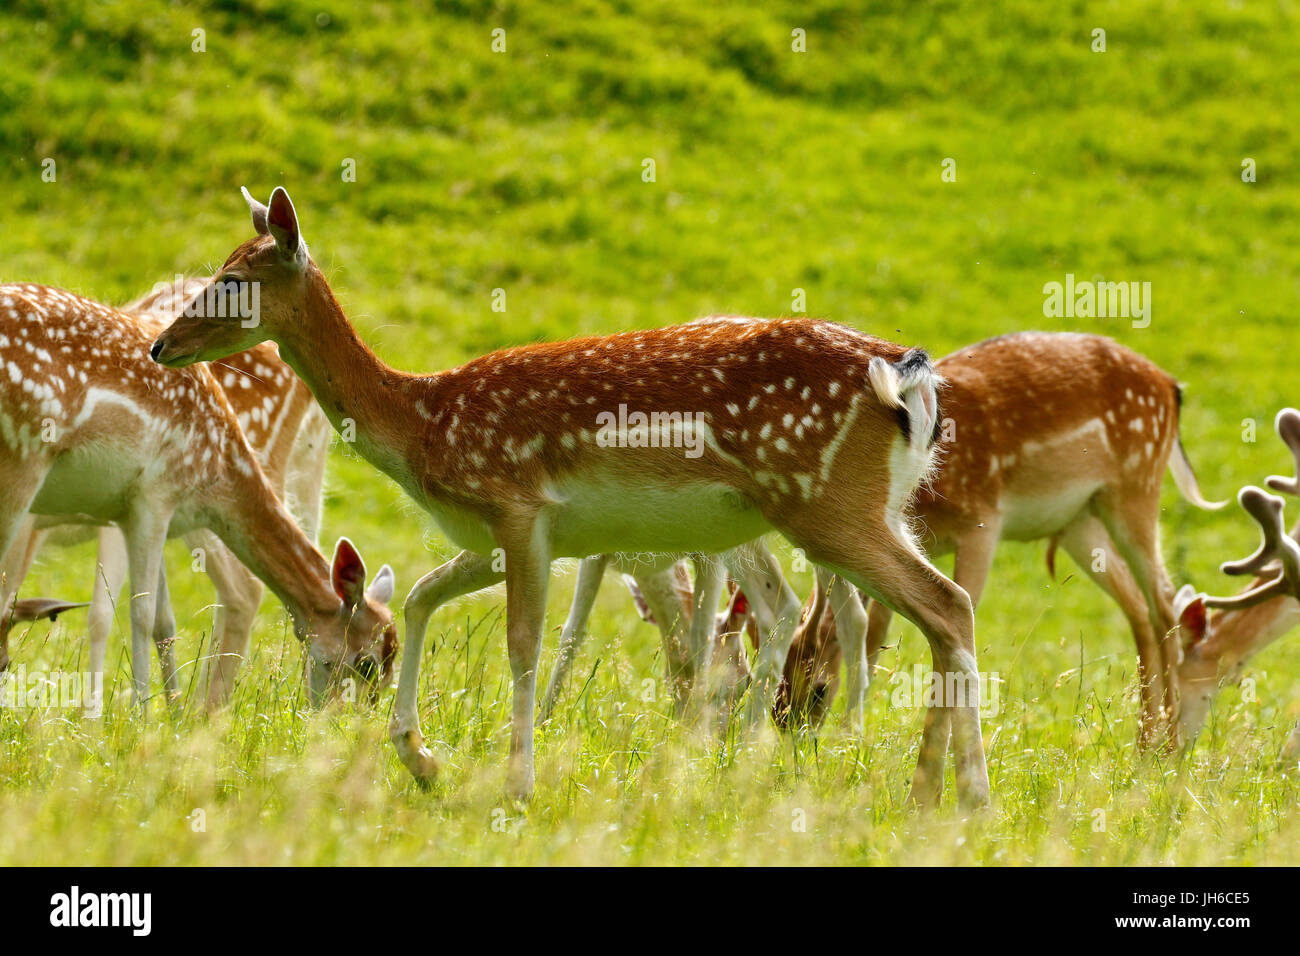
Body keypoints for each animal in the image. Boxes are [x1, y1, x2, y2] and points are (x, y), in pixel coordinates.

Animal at [0, 282, 396, 712]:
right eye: (368, 663)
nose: (346, 720)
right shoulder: (151, 497)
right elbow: (136, 614)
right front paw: (141, 715)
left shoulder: (131, 508)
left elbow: (140, 615)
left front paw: (149, 713)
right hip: (24, 457)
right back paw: (209, 708)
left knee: (245, 586)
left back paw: (206, 709)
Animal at [149, 186, 988, 809]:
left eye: (233, 280)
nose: (161, 345)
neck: (424, 424)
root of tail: (910, 379)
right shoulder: (490, 535)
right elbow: (419, 597)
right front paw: (423, 759)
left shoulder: (518, 508)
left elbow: (523, 644)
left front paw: (514, 785)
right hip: (860, 509)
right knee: (905, 613)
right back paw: (913, 789)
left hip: (826, 501)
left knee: (943, 604)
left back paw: (958, 798)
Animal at [771, 333, 1225, 744]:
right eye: (783, 669)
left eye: (818, 689)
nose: (785, 724)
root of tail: (1172, 387)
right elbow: (878, 631)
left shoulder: (982, 519)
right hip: (1079, 522)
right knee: (1138, 609)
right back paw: (1146, 741)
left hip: (1136, 486)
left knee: (1164, 601)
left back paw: (1167, 744)